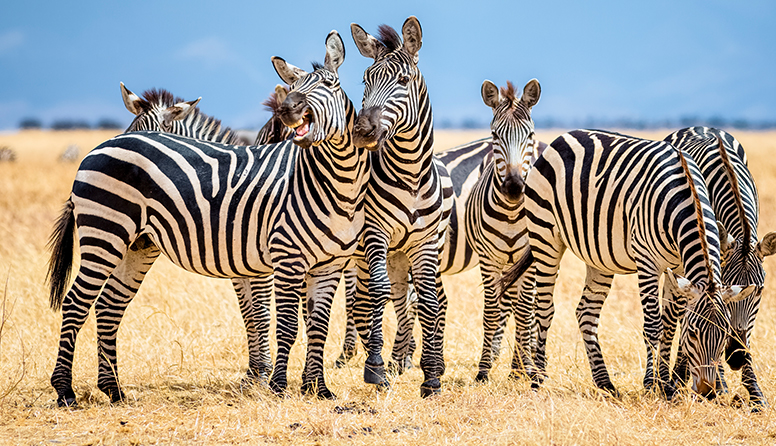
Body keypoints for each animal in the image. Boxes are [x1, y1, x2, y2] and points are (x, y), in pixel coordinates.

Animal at [46, 30, 369, 406]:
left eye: (330, 84)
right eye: (293, 87)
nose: (289, 109)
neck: (335, 181)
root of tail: (98, 149)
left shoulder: (326, 263)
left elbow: (313, 323)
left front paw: (315, 388)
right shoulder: (282, 258)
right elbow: (277, 320)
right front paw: (273, 383)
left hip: (137, 245)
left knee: (109, 306)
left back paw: (113, 389)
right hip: (105, 233)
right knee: (76, 303)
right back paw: (65, 390)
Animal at [348, 16, 451, 398]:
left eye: (403, 81)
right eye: (365, 81)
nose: (362, 131)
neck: (410, 174)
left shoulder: (424, 244)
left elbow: (430, 302)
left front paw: (432, 375)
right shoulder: (374, 234)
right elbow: (378, 295)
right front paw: (375, 366)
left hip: (403, 254)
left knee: (410, 300)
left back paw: (407, 359)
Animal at [499, 129, 756, 398]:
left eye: (724, 335)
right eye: (693, 334)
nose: (708, 392)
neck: (686, 197)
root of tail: (563, 137)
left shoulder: (677, 268)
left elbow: (669, 325)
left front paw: (666, 385)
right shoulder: (647, 263)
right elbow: (654, 326)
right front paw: (652, 384)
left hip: (598, 256)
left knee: (586, 312)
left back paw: (605, 382)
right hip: (546, 236)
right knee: (544, 308)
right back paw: (538, 378)